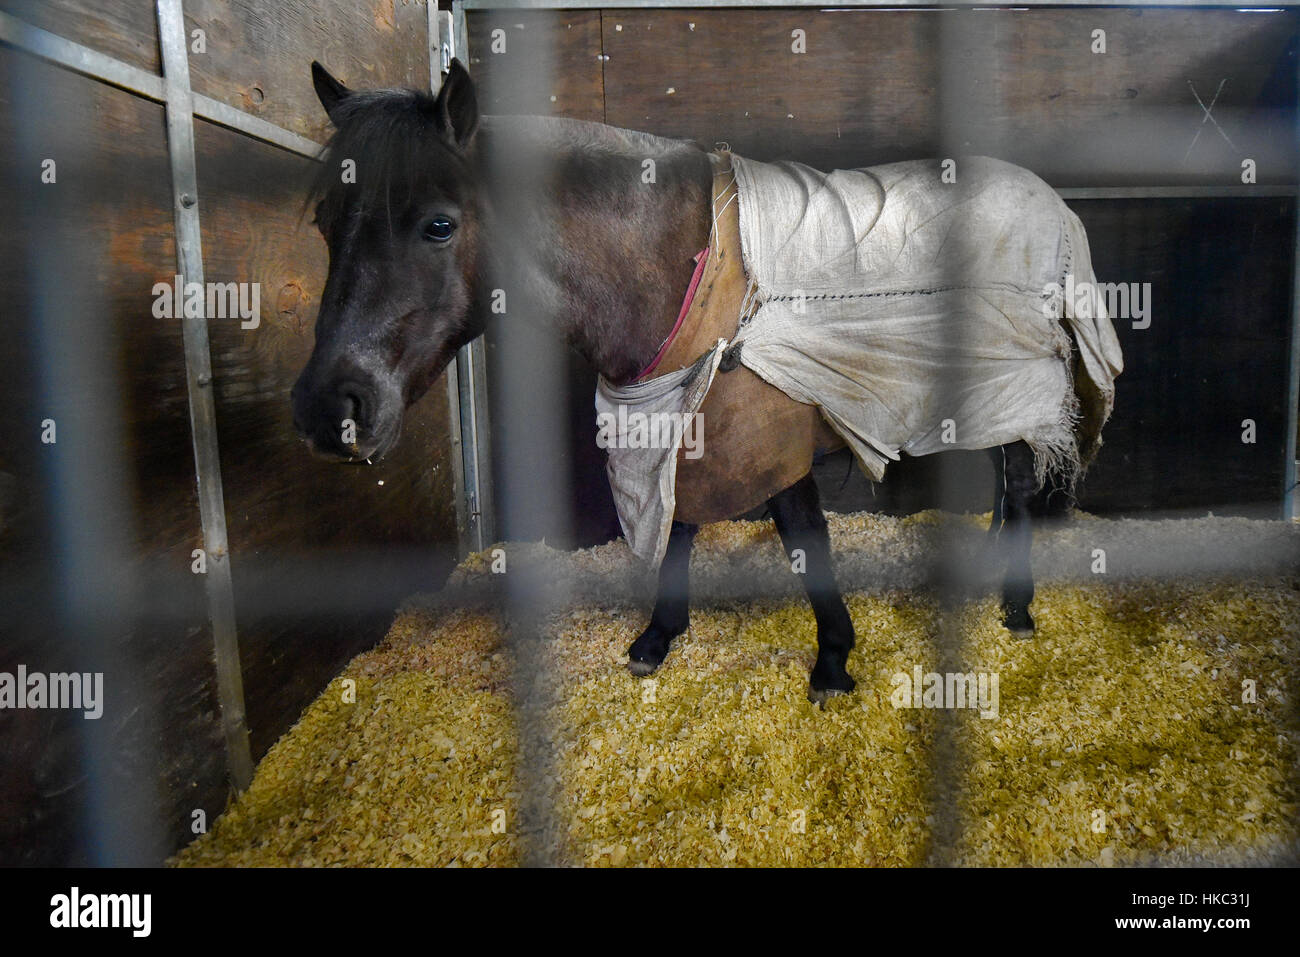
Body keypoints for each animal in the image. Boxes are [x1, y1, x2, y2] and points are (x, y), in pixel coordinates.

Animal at [291, 60, 1115, 704]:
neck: (678, 263)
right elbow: (678, 524)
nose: (328, 408)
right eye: (326, 223)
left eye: (438, 224)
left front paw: (833, 660)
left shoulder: (774, 443)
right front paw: (658, 637)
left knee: (1018, 478)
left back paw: (1017, 607)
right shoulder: (679, 424)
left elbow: (805, 542)